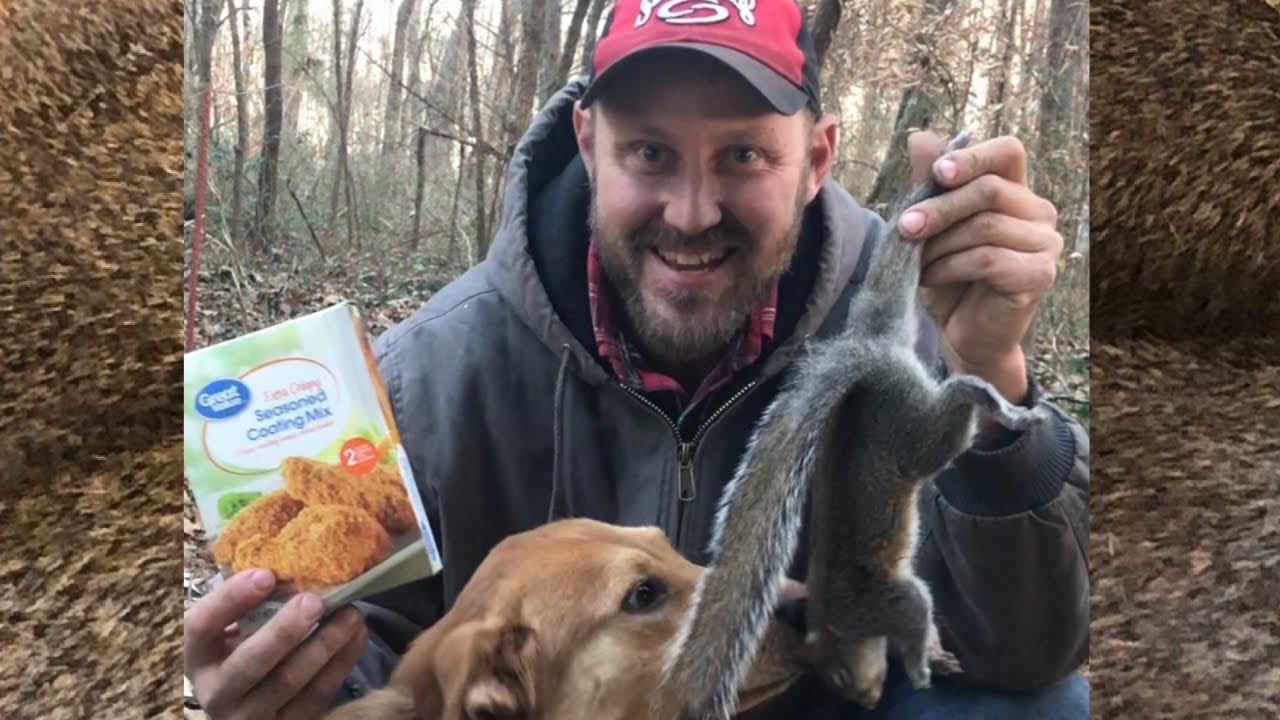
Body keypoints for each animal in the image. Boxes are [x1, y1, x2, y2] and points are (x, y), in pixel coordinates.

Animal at [658, 131, 1052, 719]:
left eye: (839, 677)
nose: (866, 701)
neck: (842, 626)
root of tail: (869, 345)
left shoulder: (885, 600)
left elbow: (916, 611)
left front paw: (919, 665)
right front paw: (936, 657)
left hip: (915, 429)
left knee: (958, 401)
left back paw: (1000, 404)